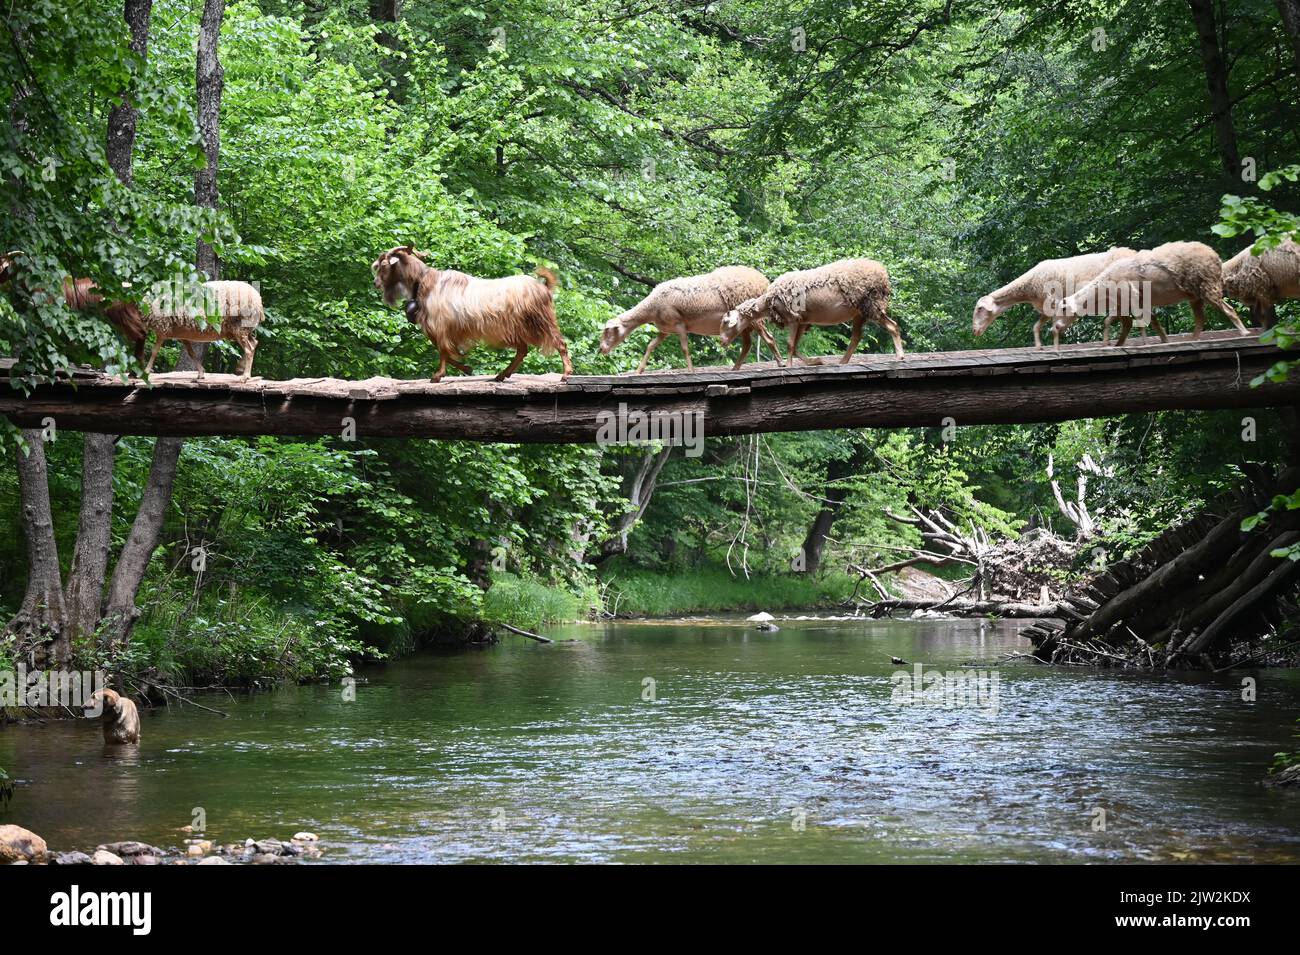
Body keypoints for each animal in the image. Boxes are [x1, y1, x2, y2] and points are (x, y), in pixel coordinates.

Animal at [372, 245, 572, 383]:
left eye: (384, 265)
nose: (375, 283)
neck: (425, 282)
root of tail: (543, 288)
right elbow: (447, 352)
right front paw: (467, 368)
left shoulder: (440, 325)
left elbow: (443, 351)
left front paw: (437, 375)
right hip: (518, 328)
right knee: (522, 351)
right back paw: (501, 375)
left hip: (540, 321)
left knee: (560, 343)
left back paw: (566, 374)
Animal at [598, 266, 779, 372]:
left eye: (609, 331)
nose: (601, 350)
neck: (651, 308)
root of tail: (764, 281)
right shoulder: (665, 330)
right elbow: (650, 346)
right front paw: (638, 372)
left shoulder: (679, 325)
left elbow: (684, 349)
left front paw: (691, 371)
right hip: (743, 324)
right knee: (747, 345)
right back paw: (735, 369)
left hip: (754, 318)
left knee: (769, 338)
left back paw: (780, 364)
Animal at [720, 258, 901, 363]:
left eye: (726, 323)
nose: (722, 342)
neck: (768, 302)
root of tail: (883, 273)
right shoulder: (803, 321)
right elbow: (795, 347)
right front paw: (815, 362)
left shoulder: (793, 318)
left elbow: (790, 345)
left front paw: (789, 367)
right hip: (860, 312)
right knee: (856, 337)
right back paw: (842, 362)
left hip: (871, 305)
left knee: (892, 326)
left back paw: (900, 356)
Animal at [972, 247, 1137, 349]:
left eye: (980, 308)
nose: (974, 331)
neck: (1029, 287)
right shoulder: (1045, 308)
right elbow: (1036, 327)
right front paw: (1039, 347)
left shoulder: (1054, 302)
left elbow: (1053, 327)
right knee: (1128, 322)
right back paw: (1118, 344)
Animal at [1052, 241, 1248, 346]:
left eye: (1063, 309)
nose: (1055, 328)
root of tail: (1215, 257)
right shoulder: (1129, 302)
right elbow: (1150, 322)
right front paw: (1164, 341)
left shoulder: (1130, 298)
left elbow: (1139, 323)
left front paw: (1144, 343)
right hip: (1195, 295)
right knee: (1200, 319)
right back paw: (1191, 340)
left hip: (1207, 286)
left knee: (1229, 309)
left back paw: (1244, 333)